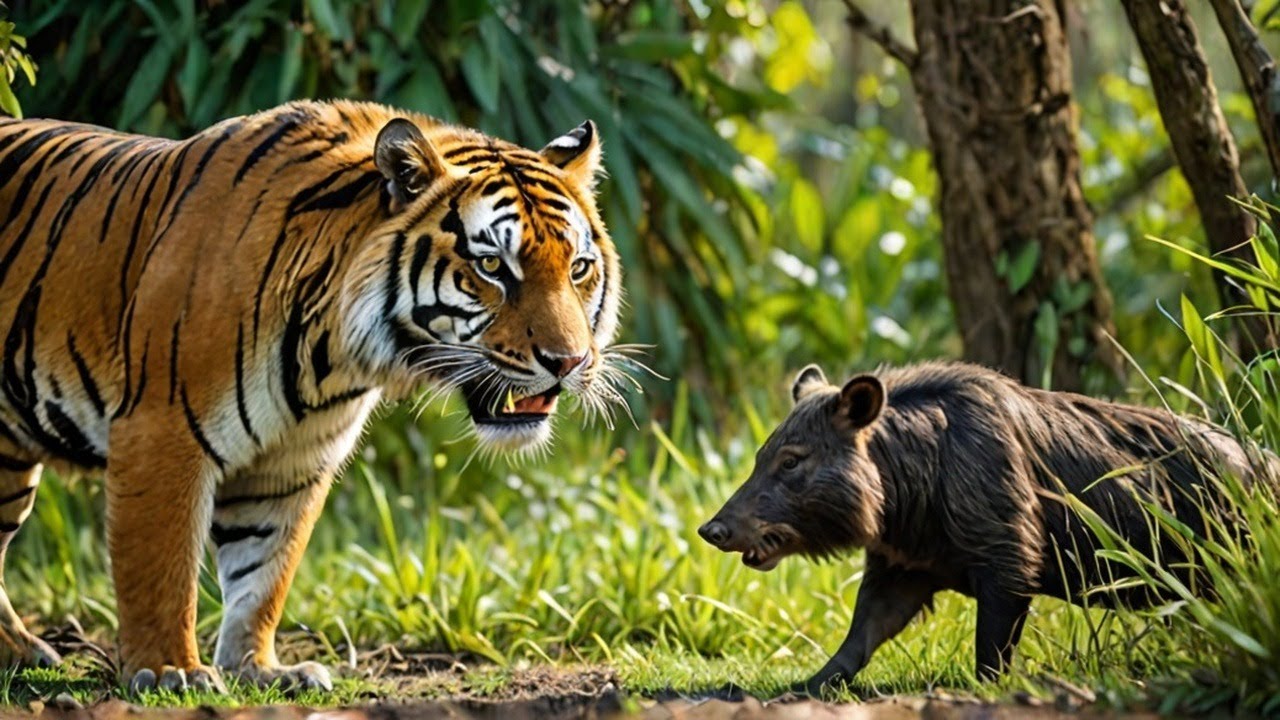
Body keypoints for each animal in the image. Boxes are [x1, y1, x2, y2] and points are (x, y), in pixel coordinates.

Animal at [0, 100, 625, 692]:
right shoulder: (161, 431)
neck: (333, 356)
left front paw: (257, 668)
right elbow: (162, 566)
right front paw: (167, 669)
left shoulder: (292, 461)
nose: (568, 362)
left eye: (578, 268)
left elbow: (264, 574)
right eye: (492, 265)